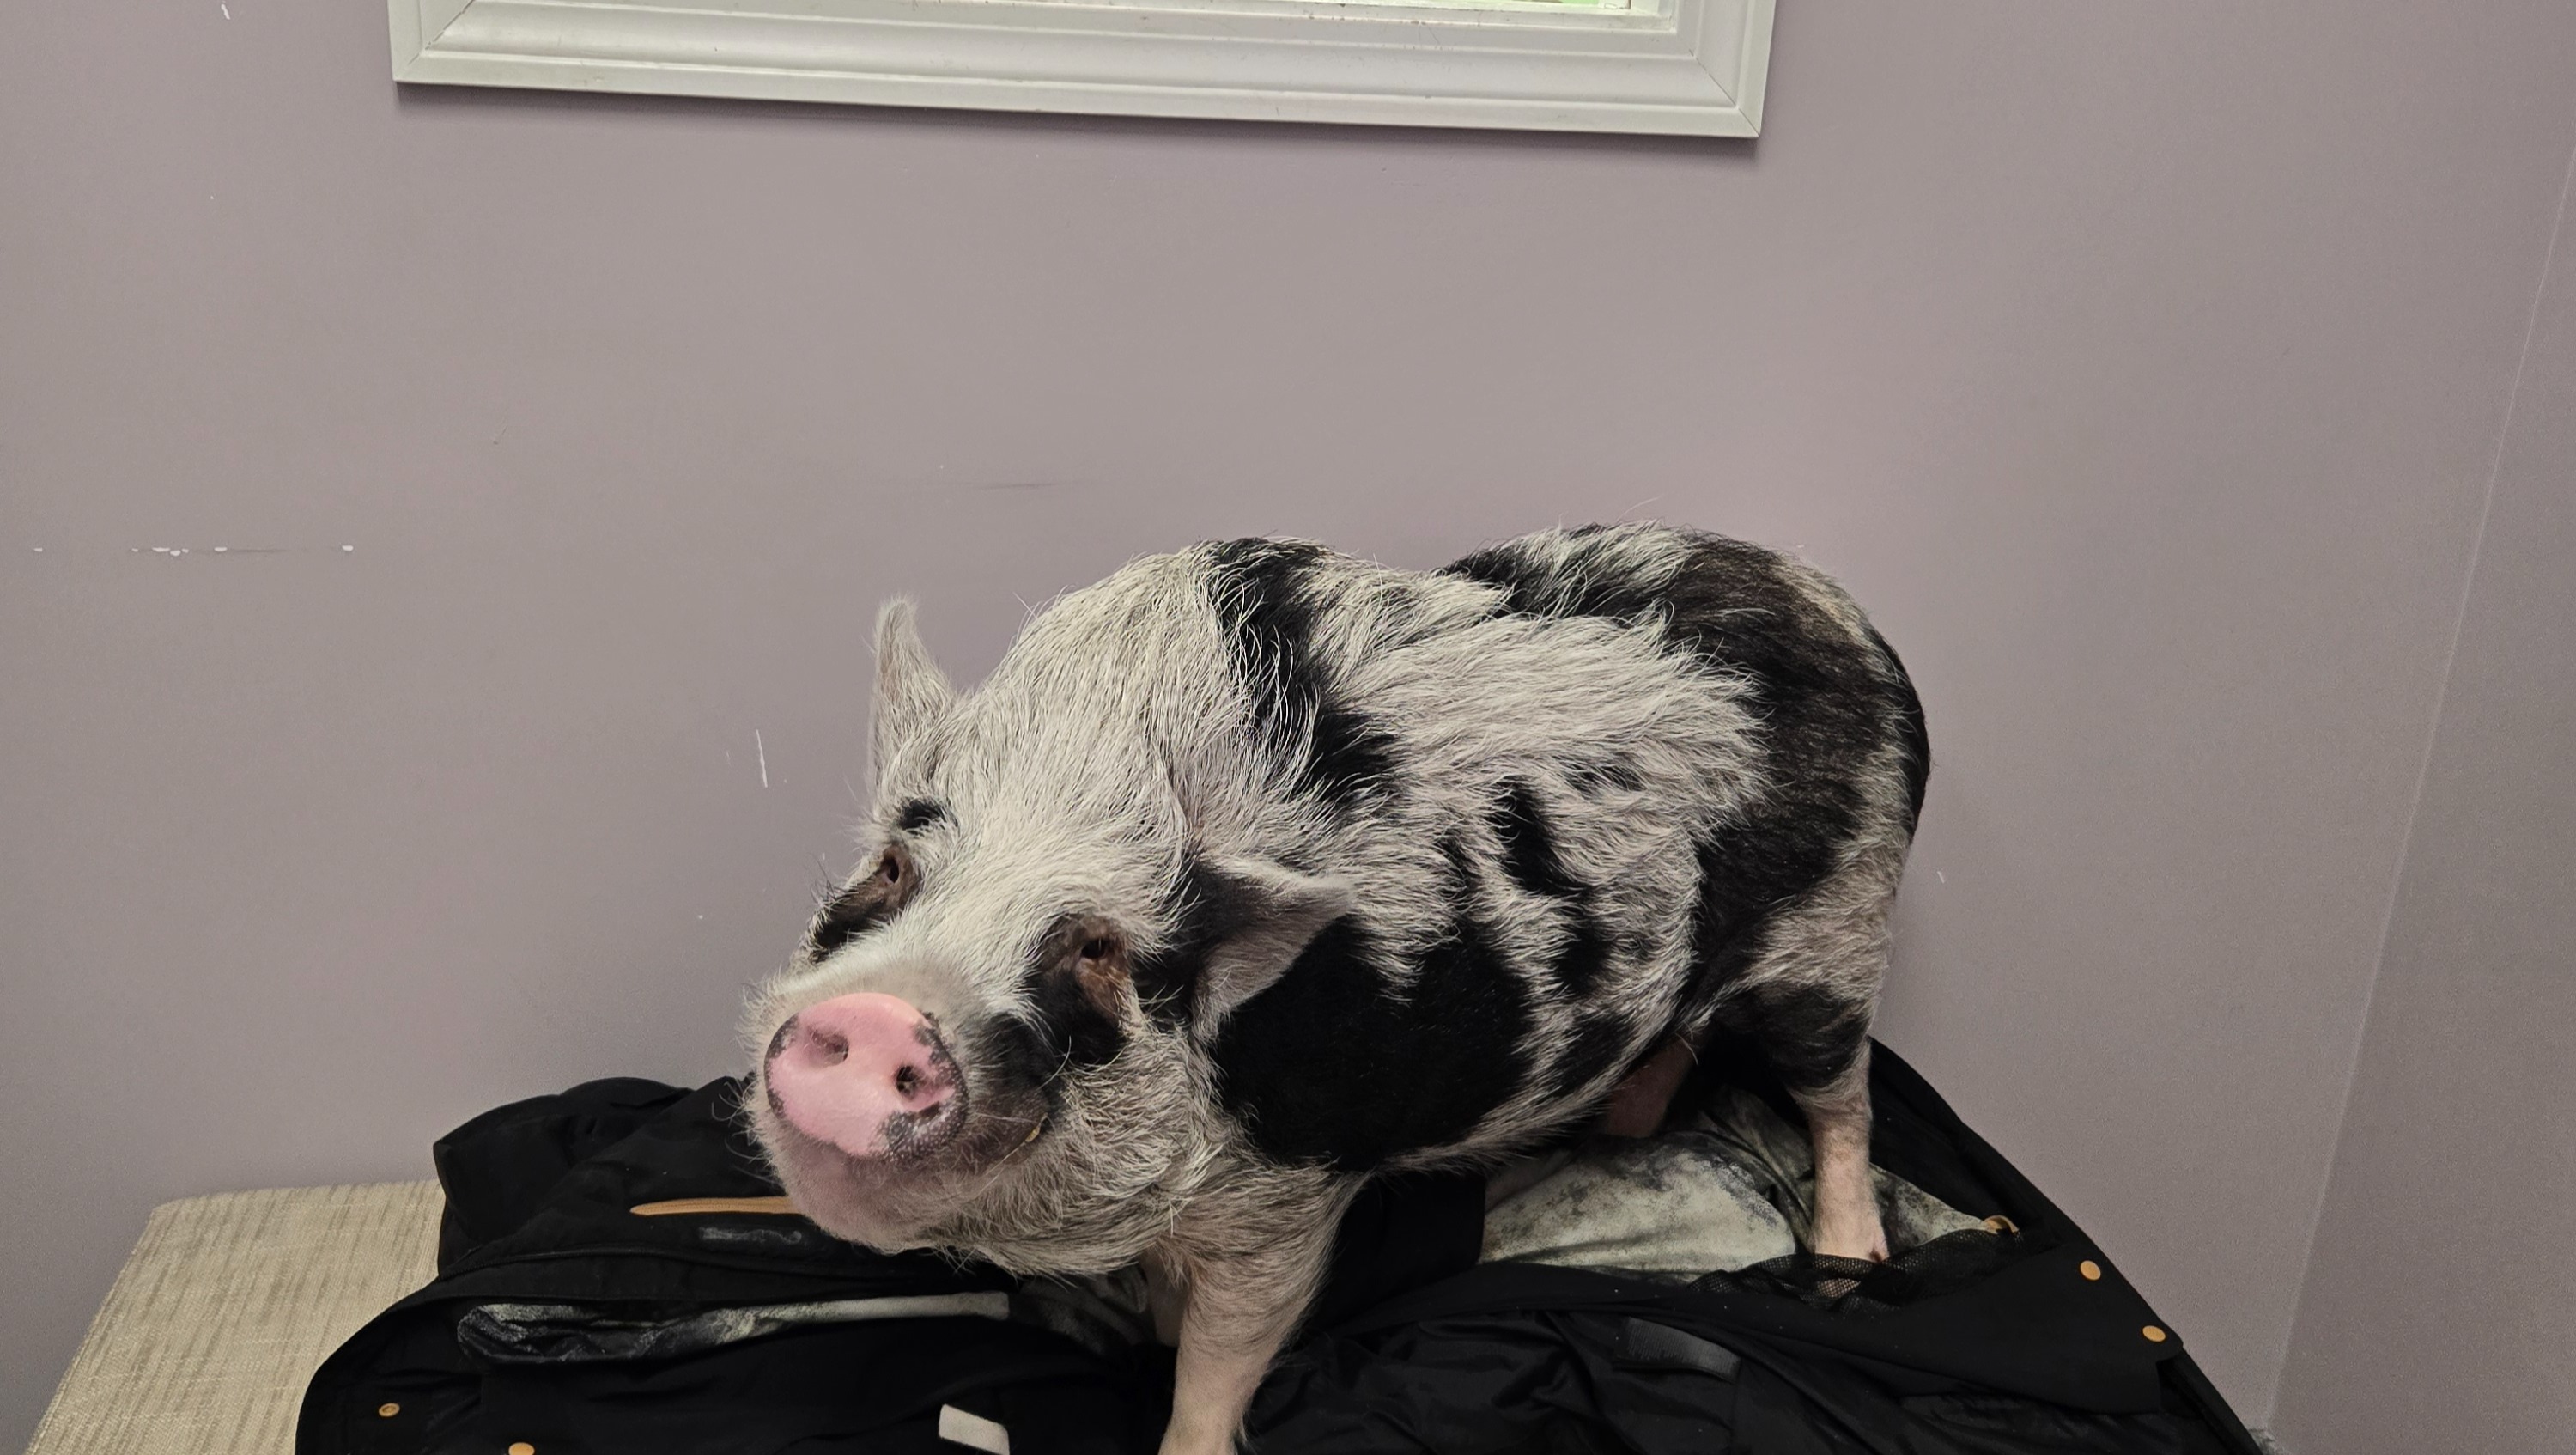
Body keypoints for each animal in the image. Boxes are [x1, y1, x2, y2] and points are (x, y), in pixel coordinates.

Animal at [743, 524, 1928, 1454]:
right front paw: (1153, 1327)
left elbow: (1223, 1358)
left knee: (1842, 1094)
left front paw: (1184, 1409)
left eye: (1096, 947)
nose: (871, 1015)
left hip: (1838, 927)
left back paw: (1846, 1256)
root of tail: (1850, 620)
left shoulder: (1294, 1186)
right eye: (892, 868)